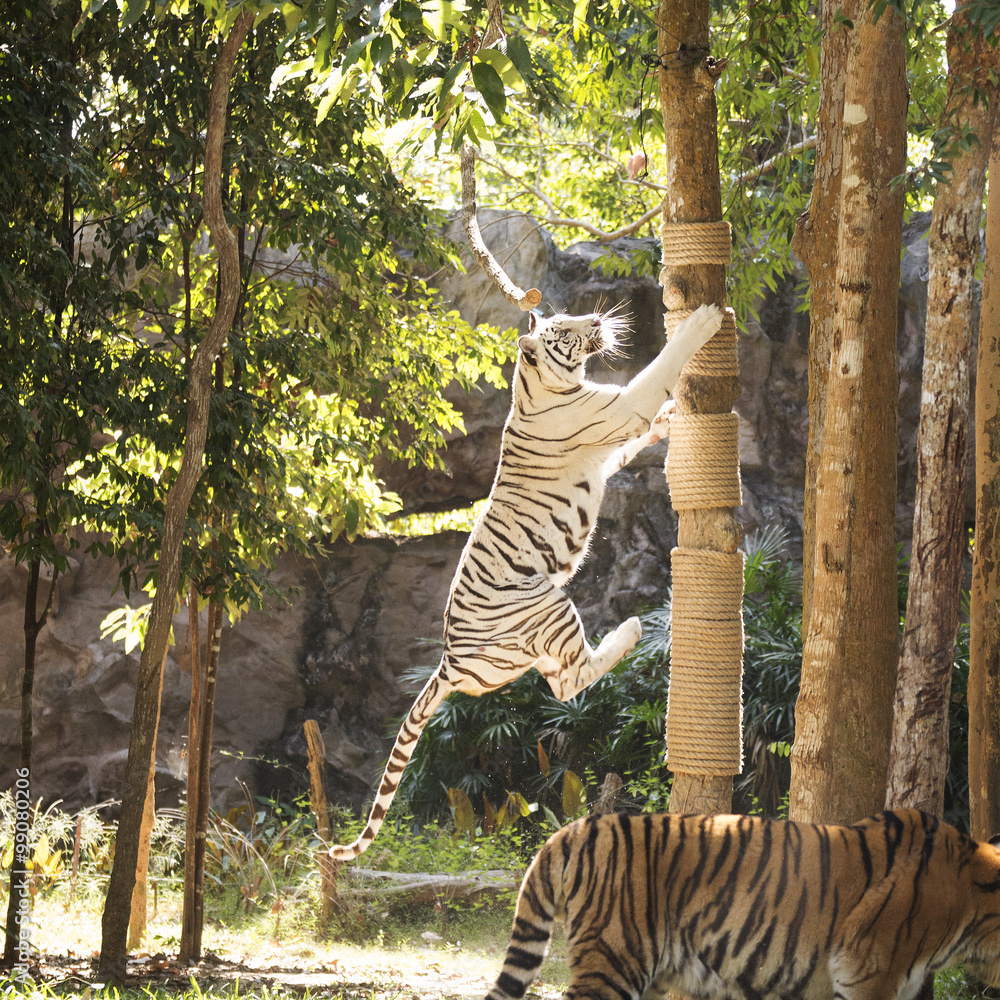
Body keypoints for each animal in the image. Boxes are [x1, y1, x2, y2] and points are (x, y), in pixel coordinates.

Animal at [329, 302, 726, 861]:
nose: (596, 320)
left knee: (560, 680)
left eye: (568, 317)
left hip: (533, 643)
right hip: (549, 602)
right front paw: (704, 321)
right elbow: (658, 371)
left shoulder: (612, 442)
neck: (539, 386)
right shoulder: (619, 410)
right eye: (564, 330)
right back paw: (630, 630)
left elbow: (643, 430)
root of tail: (448, 659)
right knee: (573, 680)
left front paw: (671, 419)